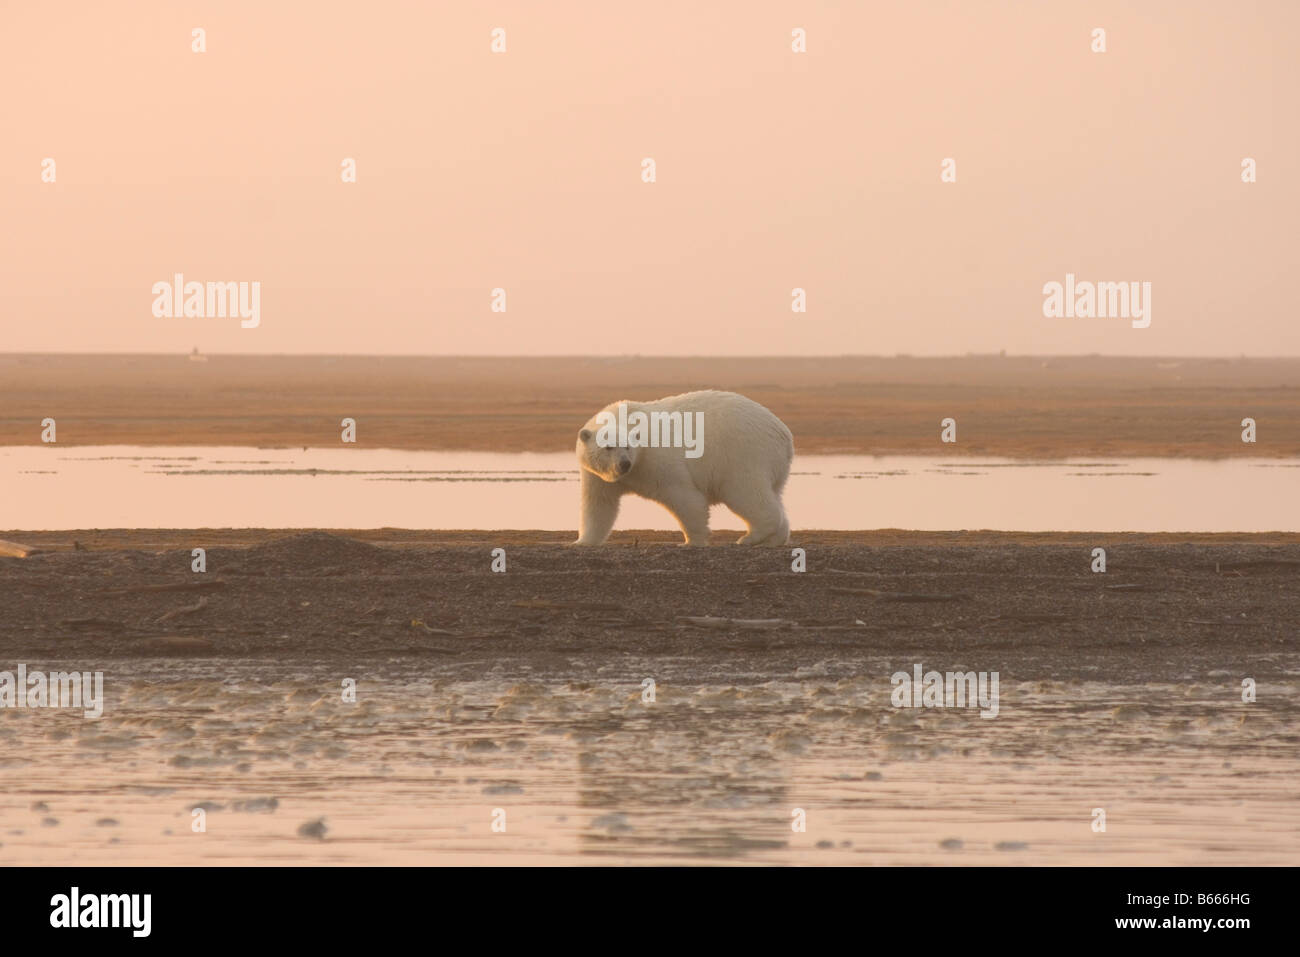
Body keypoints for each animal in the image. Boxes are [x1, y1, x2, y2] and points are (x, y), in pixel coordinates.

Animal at [572, 390, 794, 546]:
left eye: (627, 446)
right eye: (608, 447)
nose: (624, 463)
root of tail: (783, 433)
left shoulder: (656, 460)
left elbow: (683, 496)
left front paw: (691, 541)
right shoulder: (597, 475)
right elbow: (599, 504)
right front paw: (582, 541)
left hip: (743, 453)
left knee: (746, 492)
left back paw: (750, 537)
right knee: (773, 493)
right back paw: (774, 539)